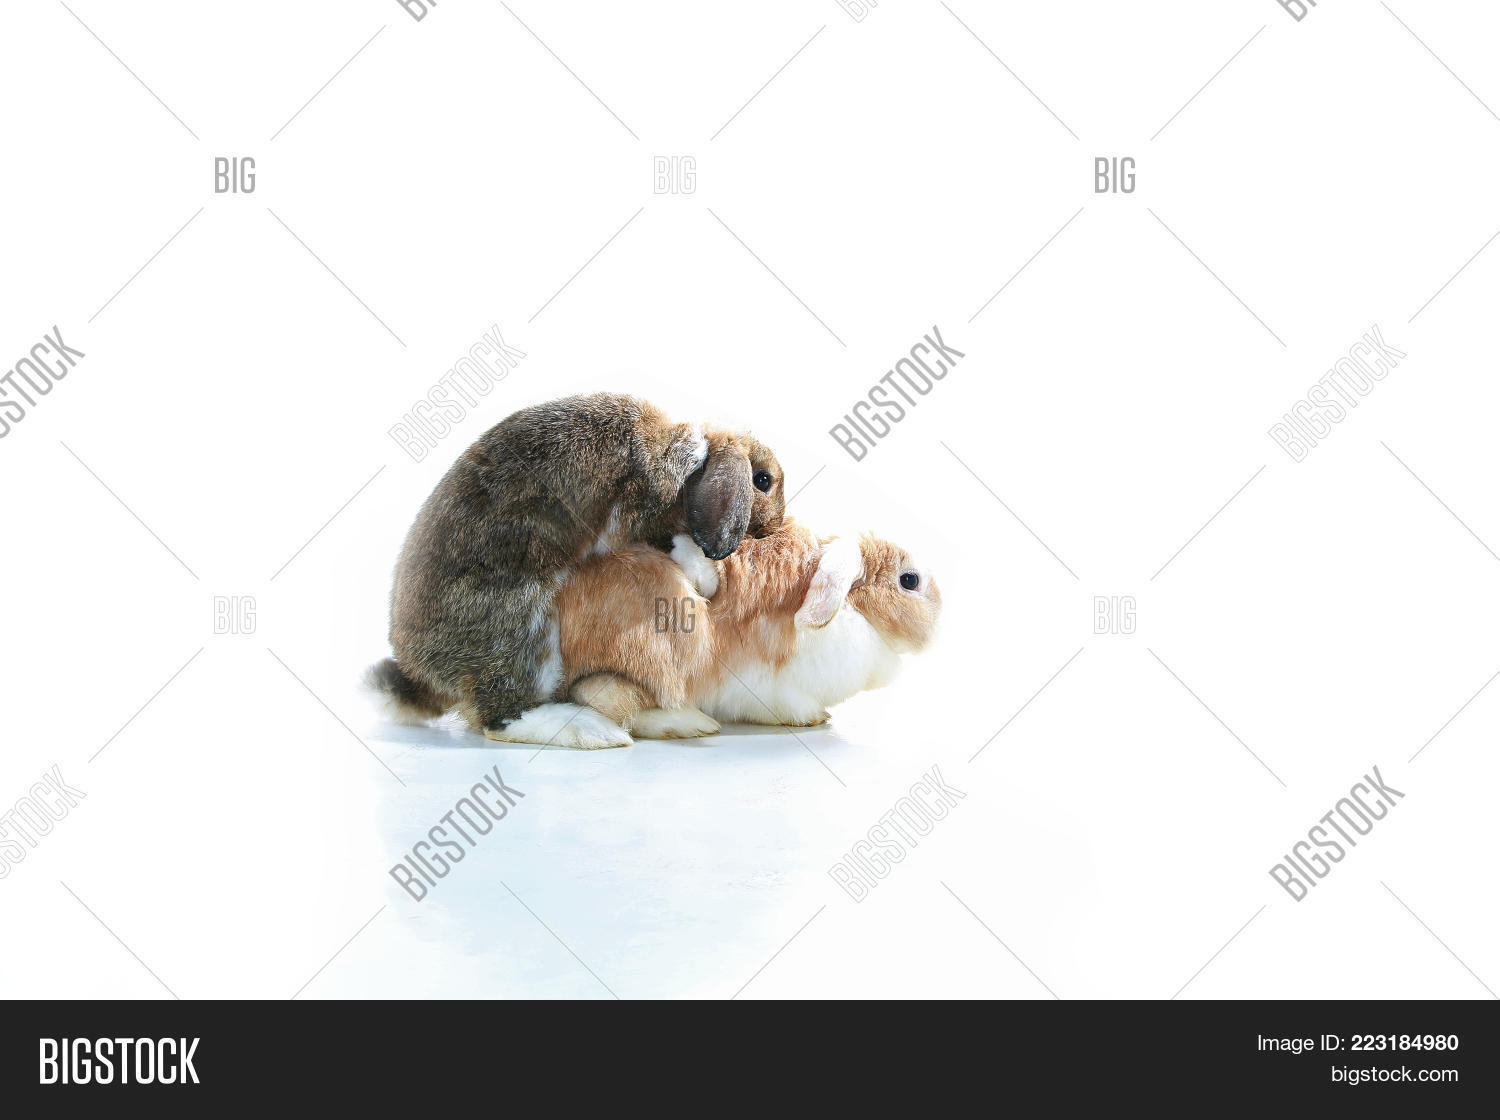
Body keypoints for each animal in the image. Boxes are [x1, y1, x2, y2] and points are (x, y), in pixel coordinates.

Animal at [366, 392, 786, 741]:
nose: (775, 527)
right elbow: (671, 544)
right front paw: (707, 576)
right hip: (523, 633)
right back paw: (590, 730)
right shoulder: (640, 514)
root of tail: (424, 673)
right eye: (762, 480)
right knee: (501, 716)